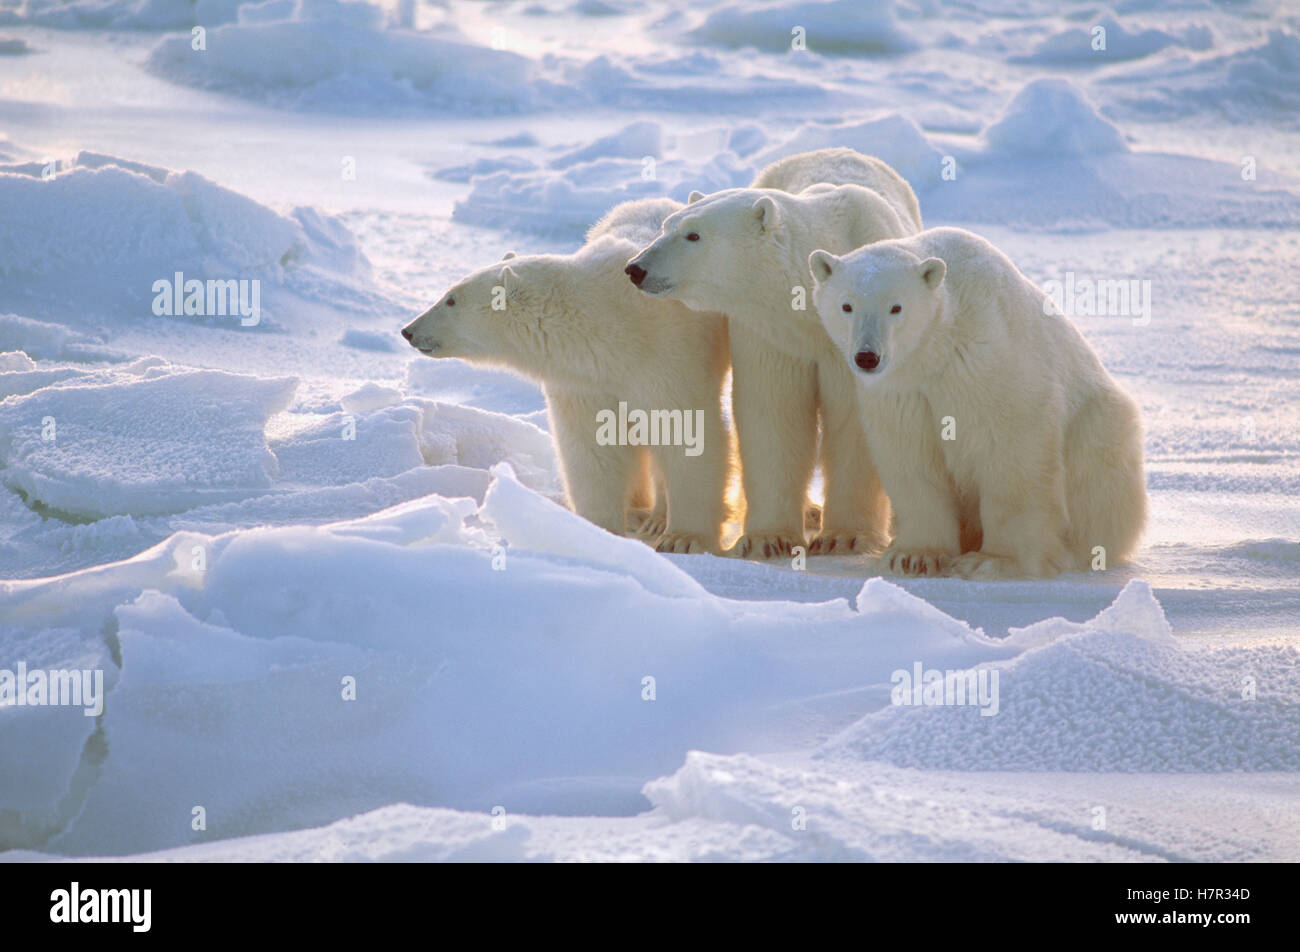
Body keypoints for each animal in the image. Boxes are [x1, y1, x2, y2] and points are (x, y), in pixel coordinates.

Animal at [401, 197, 732, 554]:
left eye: (451, 299)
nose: (409, 330)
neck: (610, 325)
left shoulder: (669, 356)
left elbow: (686, 430)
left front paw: (684, 537)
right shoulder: (584, 378)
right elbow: (593, 444)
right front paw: (597, 531)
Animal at [625, 149, 921, 559]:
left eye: (694, 234)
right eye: (666, 227)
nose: (635, 268)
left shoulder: (855, 341)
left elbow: (852, 421)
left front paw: (844, 536)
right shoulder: (771, 332)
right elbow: (774, 412)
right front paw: (768, 538)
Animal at [808, 226, 1147, 579]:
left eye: (896, 307)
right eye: (847, 306)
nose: (867, 357)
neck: (937, 350)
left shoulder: (989, 359)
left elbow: (1013, 449)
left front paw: (994, 560)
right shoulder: (902, 391)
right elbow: (911, 457)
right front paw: (914, 556)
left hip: (1100, 427)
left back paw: (1070, 551)